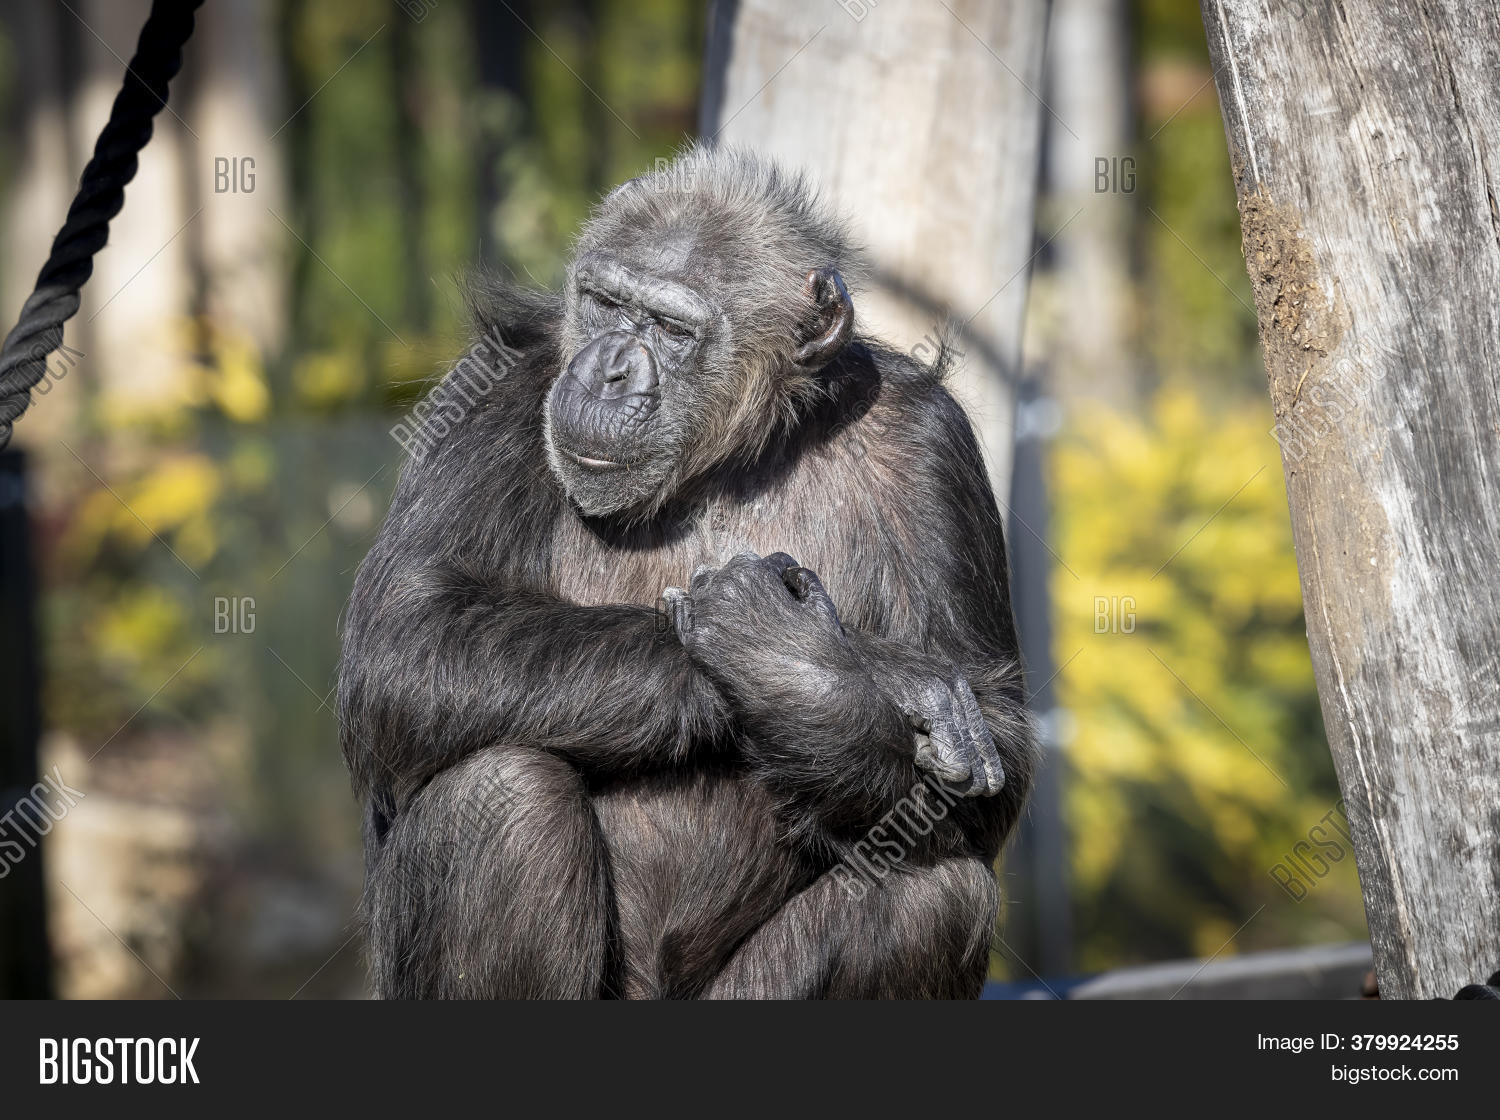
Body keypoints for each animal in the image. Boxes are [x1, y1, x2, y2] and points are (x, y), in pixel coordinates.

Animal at [337, 145, 1036, 999]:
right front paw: (870, 669)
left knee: (934, 895)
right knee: (503, 799)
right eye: (605, 303)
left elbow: (997, 740)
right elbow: (408, 632)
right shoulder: (491, 396)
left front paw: (799, 678)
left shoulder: (933, 445)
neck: (727, 458)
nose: (606, 369)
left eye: (671, 329)